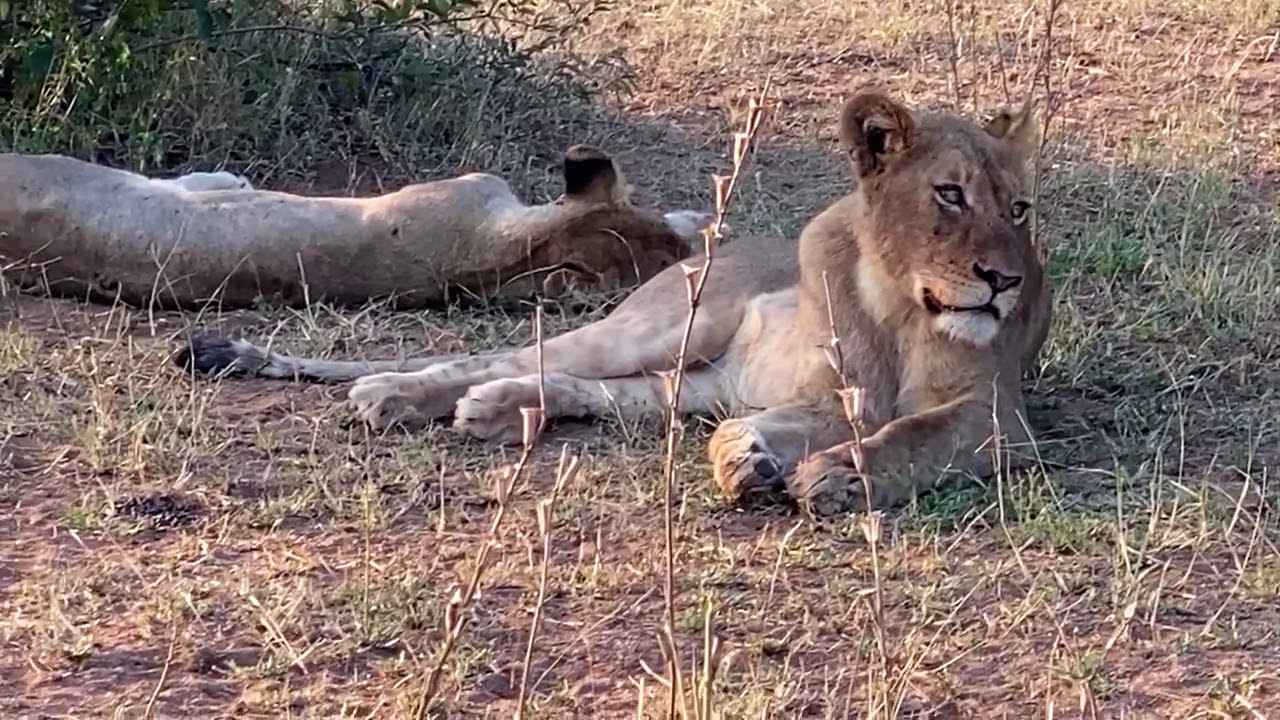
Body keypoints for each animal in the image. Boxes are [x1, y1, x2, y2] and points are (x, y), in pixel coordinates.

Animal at [177, 88, 1052, 516]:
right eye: (948, 196)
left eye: (1019, 209)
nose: (1004, 281)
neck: (903, 305)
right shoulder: (845, 398)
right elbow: (890, 434)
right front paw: (788, 467)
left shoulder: (989, 414)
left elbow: (907, 437)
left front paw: (788, 467)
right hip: (661, 330)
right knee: (493, 355)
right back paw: (393, 393)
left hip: (687, 381)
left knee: (580, 387)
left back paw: (497, 410)